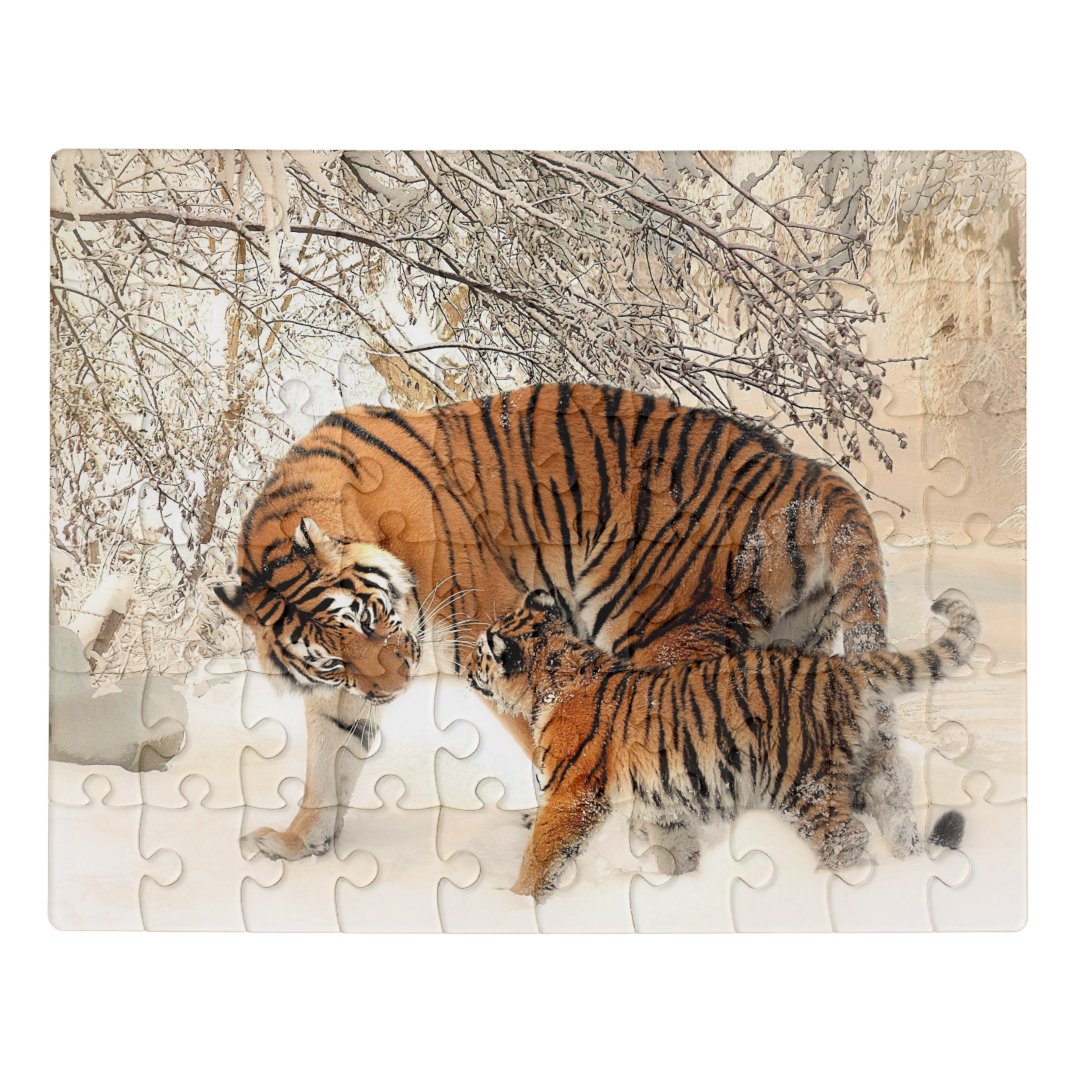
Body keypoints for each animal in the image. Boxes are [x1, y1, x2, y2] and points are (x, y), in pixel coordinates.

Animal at [214, 382, 906, 862]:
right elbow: (326, 762)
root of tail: (807, 472)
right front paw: (299, 843)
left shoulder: (493, 637)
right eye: (333, 657)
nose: (394, 689)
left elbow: (550, 739)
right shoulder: (342, 693)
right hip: (790, 651)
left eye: (372, 620)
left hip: (660, 633)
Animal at [466, 589, 977, 901]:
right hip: (873, 769)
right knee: (897, 815)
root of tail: (840, 666)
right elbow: (675, 851)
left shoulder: (571, 795)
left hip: (802, 783)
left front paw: (518, 905)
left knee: (846, 838)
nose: (466, 670)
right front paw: (683, 886)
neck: (553, 677)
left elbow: (542, 855)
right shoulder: (663, 805)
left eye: (480, 654)